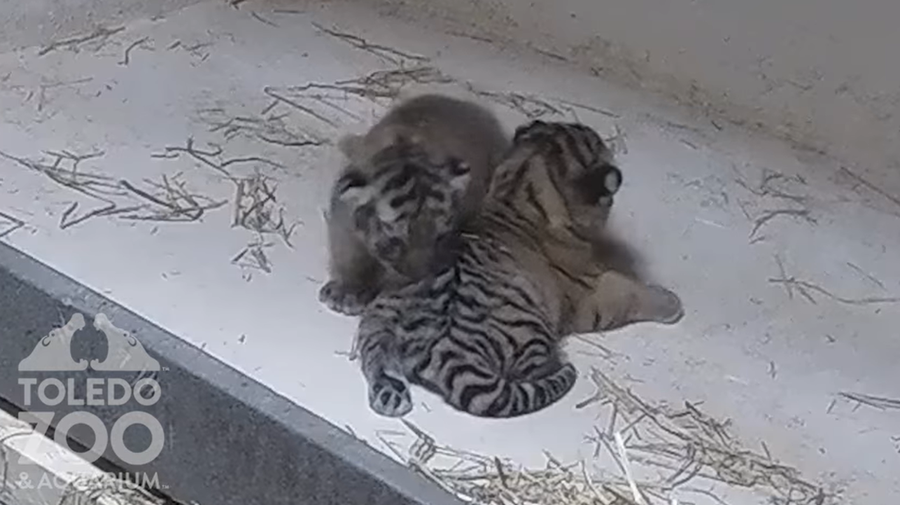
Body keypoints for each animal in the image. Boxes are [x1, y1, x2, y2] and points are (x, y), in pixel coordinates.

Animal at [319, 93, 510, 316]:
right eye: (396, 240)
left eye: (439, 237)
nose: (420, 282)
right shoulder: (344, 222)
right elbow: (349, 254)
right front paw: (349, 290)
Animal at [353, 120, 684, 419]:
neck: (518, 191)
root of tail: (446, 353)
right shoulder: (589, 298)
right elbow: (628, 290)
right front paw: (670, 303)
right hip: (531, 331)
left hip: (377, 320)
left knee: (378, 358)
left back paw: (390, 394)